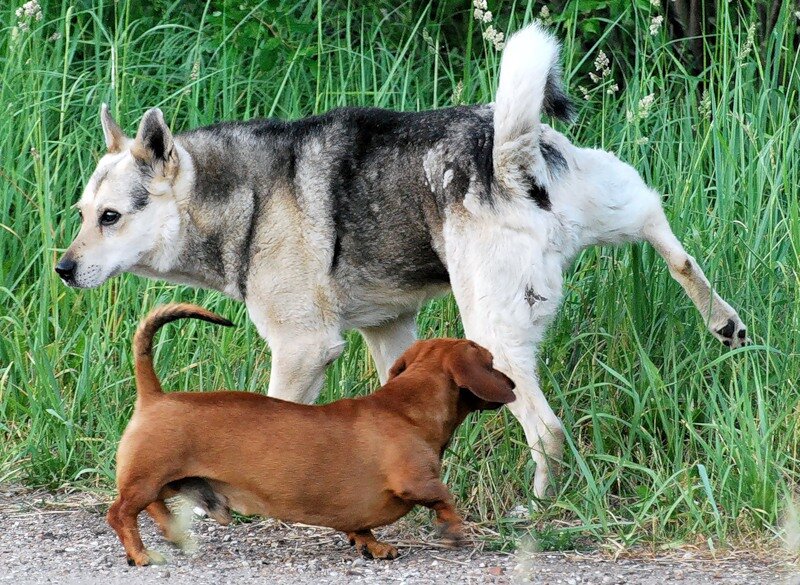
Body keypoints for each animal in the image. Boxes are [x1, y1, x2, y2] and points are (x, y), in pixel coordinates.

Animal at [57, 24, 752, 498]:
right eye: (81, 214)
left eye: (111, 217)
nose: (62, 271)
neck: (241, 199)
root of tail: (508, 157)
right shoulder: (390, 333)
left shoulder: (303, 348)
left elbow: (276, 413)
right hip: (612, 201)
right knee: (666, 235)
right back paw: (723, 319)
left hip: (494, 331)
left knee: (548, 431)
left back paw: (536, 510)